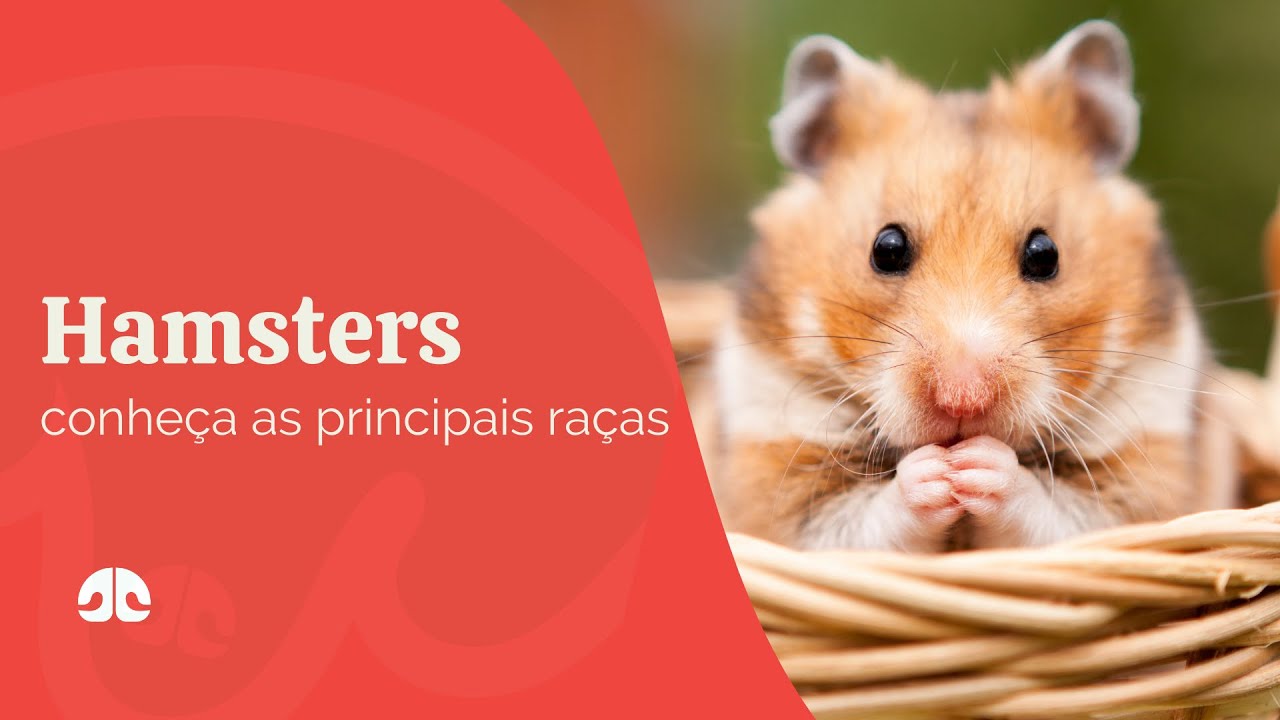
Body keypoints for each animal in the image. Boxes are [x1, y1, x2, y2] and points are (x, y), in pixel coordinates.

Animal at [710, 21, 1229, 552]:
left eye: (1045, 254)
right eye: (886, 248)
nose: (963, 399)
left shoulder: (1144, 468)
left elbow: (1061, 514)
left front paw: (977, 466)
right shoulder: (776, 465)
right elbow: (858, 521)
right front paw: (938, 472)